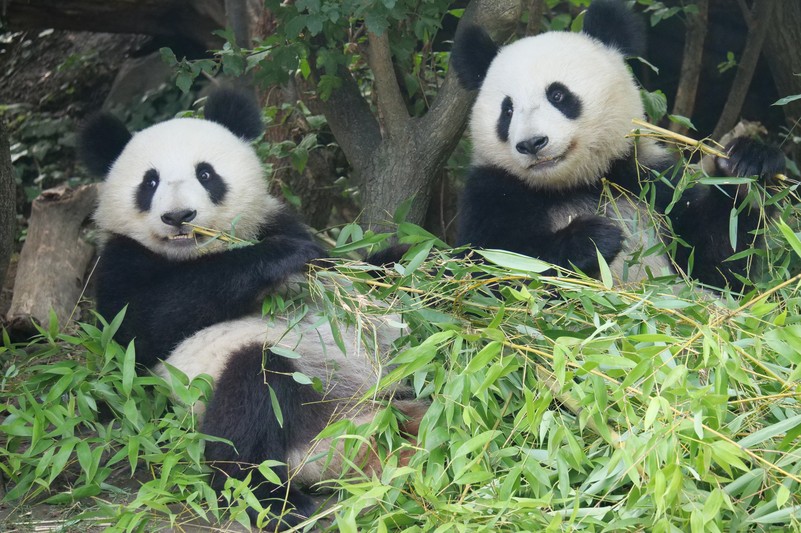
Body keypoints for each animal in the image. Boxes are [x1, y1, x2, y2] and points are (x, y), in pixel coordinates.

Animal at [79, 87, 422, 529]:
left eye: (206, 174)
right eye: (149, 182)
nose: (179, 217)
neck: (198, 252)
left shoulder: (279, 222)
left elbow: (359, 273)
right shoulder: (119, 264)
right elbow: (142, 325)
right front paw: (281, 259)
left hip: (397, 371)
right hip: (248, 399)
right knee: (252, 395)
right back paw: (273, 500)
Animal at [451, 0, 787, 290]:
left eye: (558, 95)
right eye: (507, 110)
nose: (532, 143)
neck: (575, 183)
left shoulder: (650, 180)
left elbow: (718, 264)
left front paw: (746, 167)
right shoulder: (492, 192)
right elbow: (486, 271)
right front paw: (593, 239)